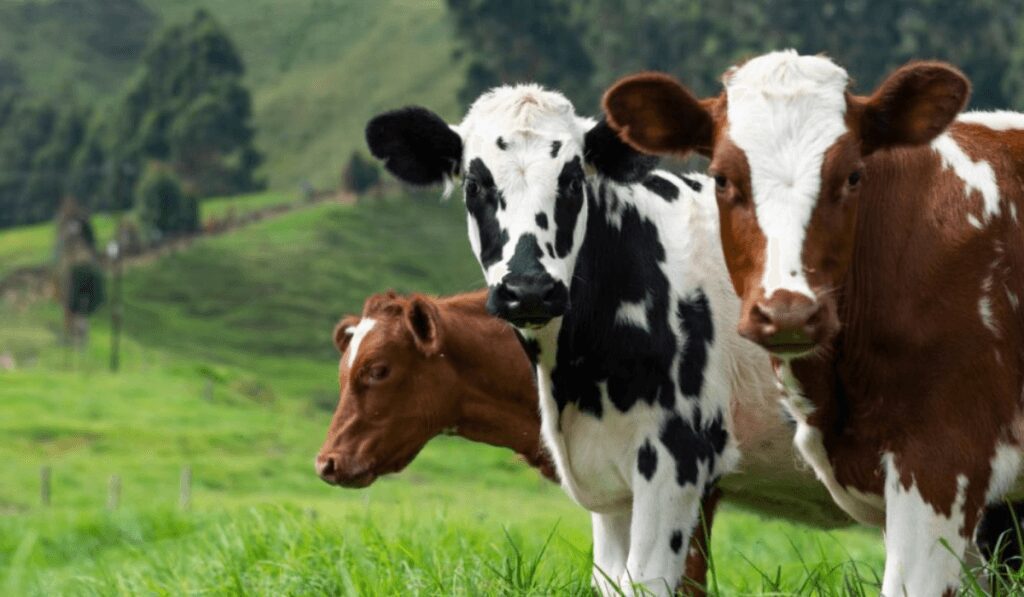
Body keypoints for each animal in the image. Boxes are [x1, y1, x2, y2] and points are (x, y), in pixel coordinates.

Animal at [363, 84, 836, 595]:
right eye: (475, 185)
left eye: (573, 181)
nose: (529, 288)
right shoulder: (609, 485)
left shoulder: (679, 459)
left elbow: (646, 581)